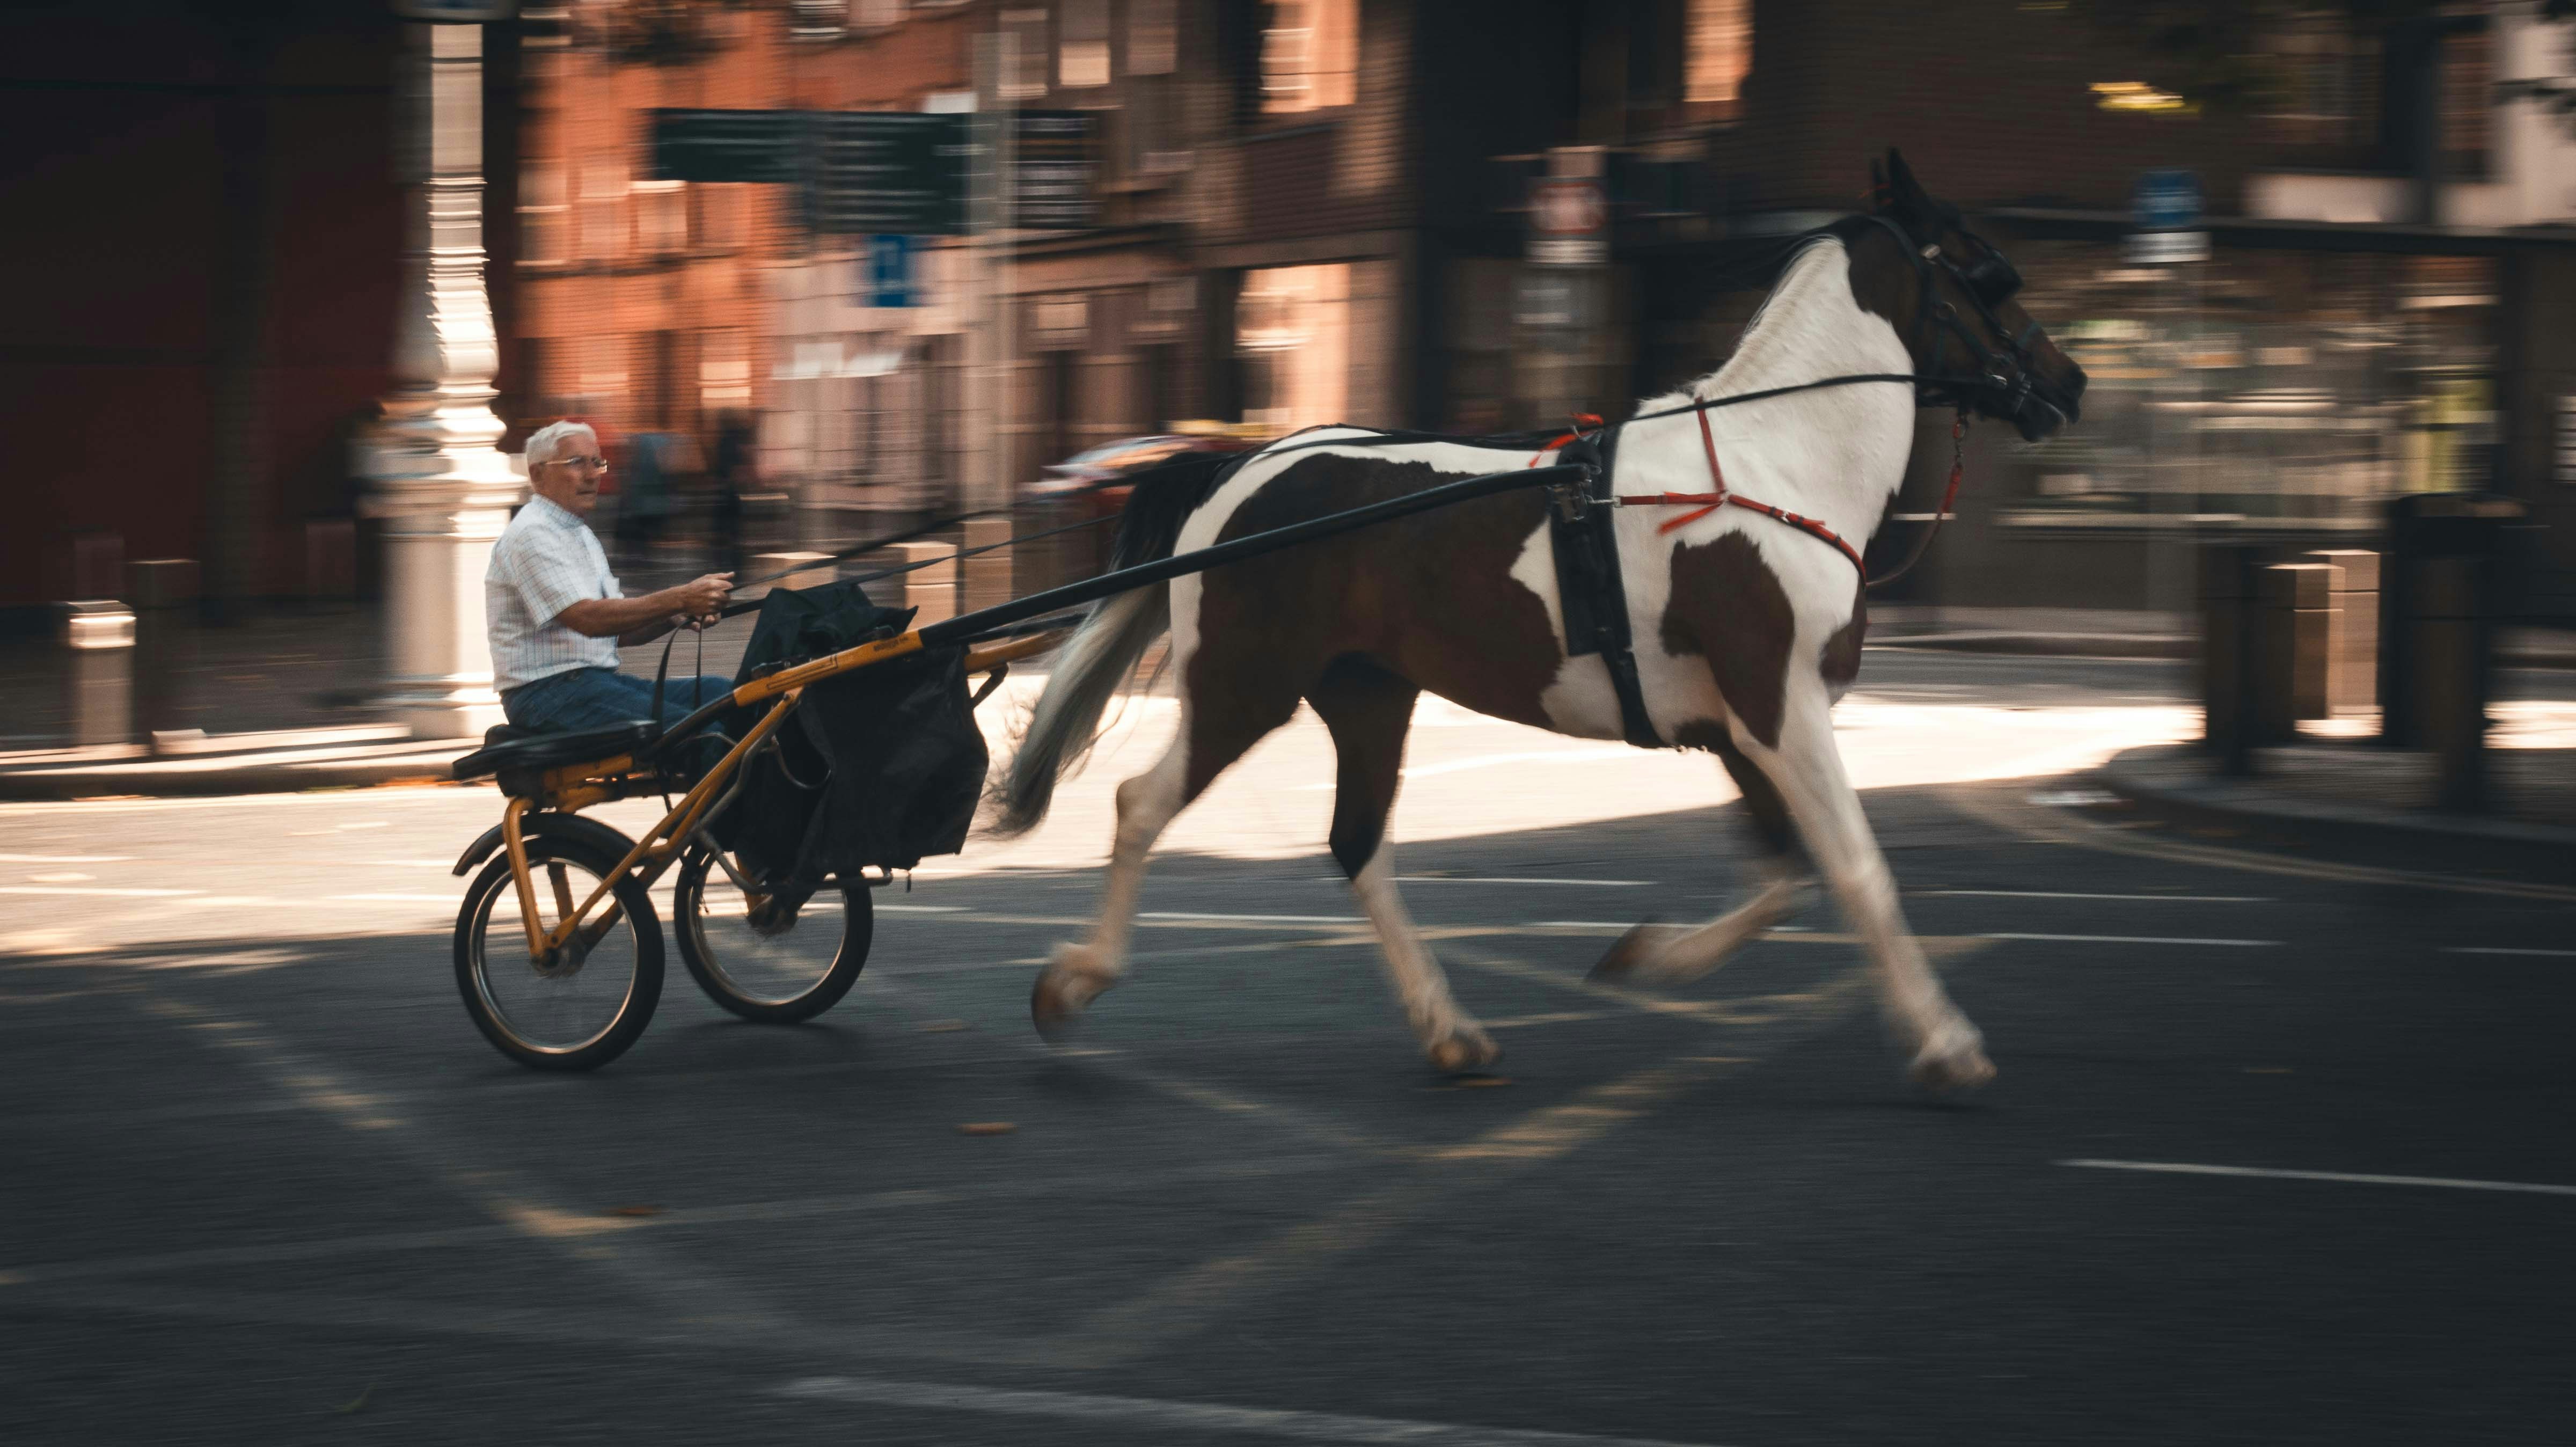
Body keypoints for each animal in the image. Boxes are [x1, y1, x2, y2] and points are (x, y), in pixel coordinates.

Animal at [993, 151, 2087, 1092]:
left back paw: (1449, 1029)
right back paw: (1075, 981)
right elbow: (1859, 868)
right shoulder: (1782, 708)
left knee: (1357, 842)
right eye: (1989, 271)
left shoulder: (1741, 725)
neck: (1770, 466)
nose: (2069, 382)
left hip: (1369, 697)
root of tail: (1241, 463)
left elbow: (1784, 879)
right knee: (1143, 805)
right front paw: (1945, 1042)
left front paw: (1652, 956)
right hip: (1243, 687)